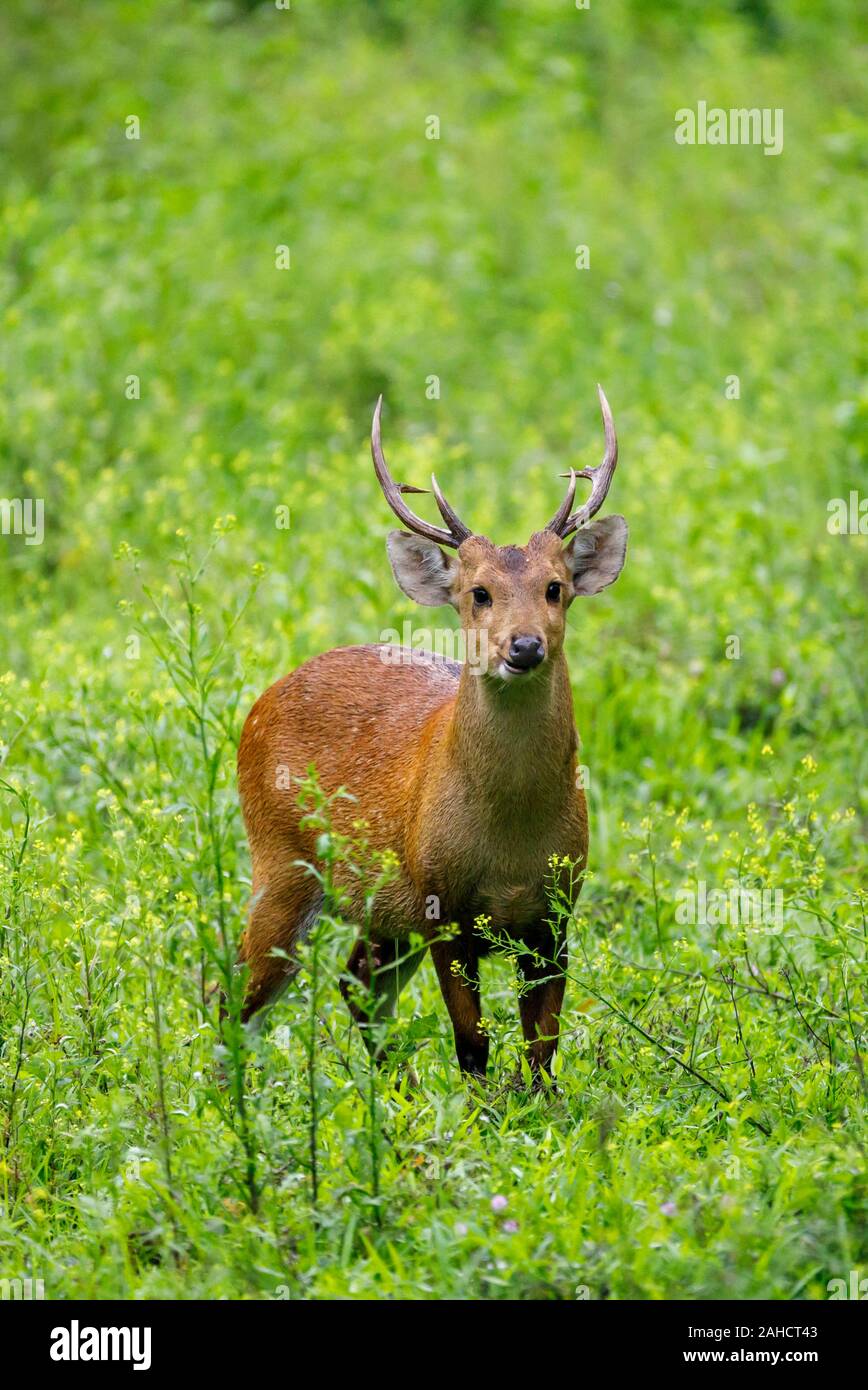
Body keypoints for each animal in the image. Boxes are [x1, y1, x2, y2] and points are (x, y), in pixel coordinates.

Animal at [235, 387, 627, 1082]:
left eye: (556, 588)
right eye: (479, 594)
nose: (524, 646)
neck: (510, 846)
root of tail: (261, 701)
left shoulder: (558, 913)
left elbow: (542, 1051)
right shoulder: (442, 906)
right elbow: (473, 1047)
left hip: (380, 912)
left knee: (355, 979)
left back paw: (395, 1086)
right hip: (279, 860)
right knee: (235, 992)